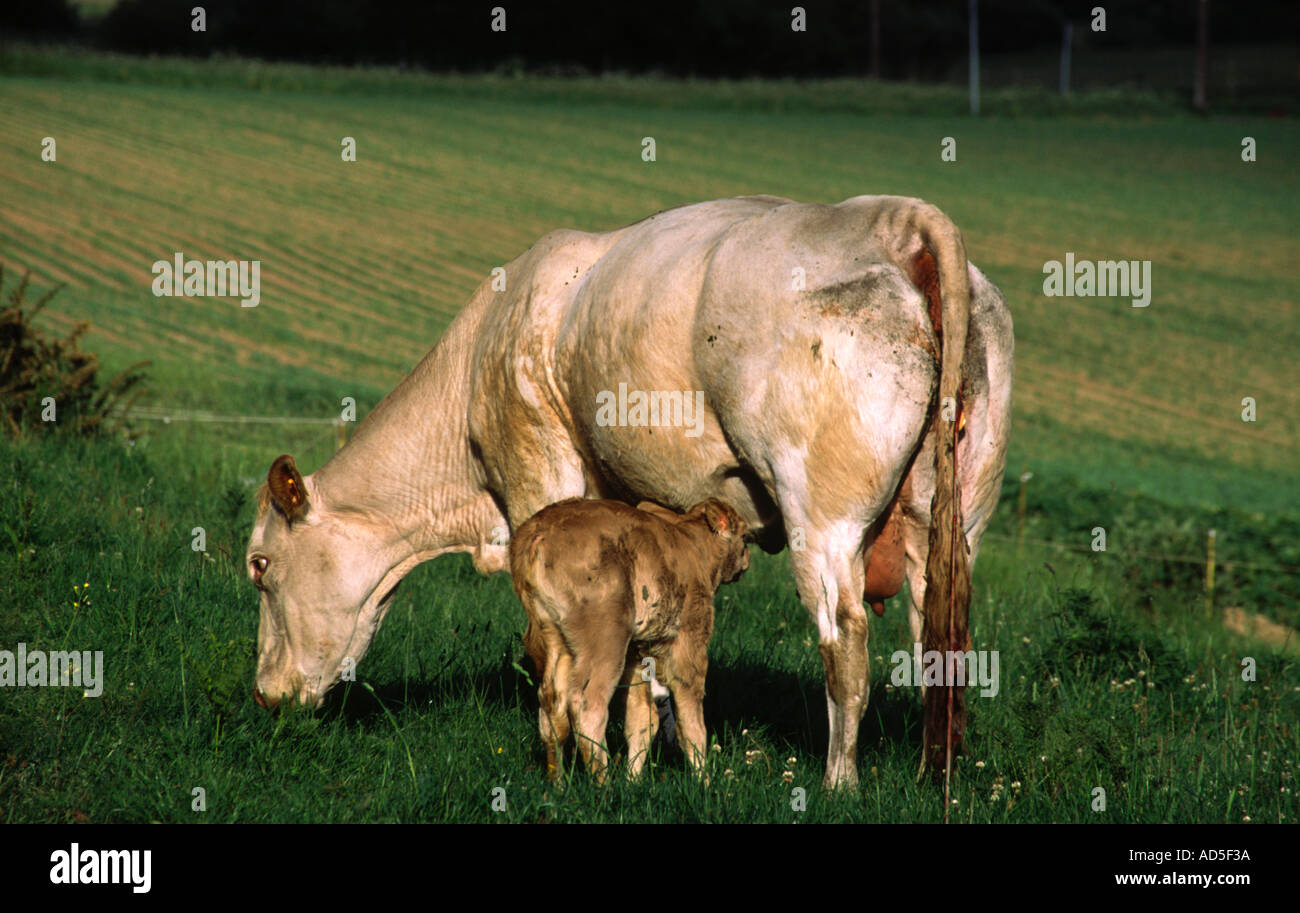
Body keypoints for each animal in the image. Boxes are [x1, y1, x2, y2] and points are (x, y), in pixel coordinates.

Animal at [246, 194, 1014, 789]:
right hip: (955, 519)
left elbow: (553, 654)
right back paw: (931, 776)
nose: (266, 695)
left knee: (844, 639)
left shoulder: (538, 472)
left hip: (822, 515)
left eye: (259, 564)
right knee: (934, 638)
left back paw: (838, 782)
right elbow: (650, 661)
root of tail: (892, 217)